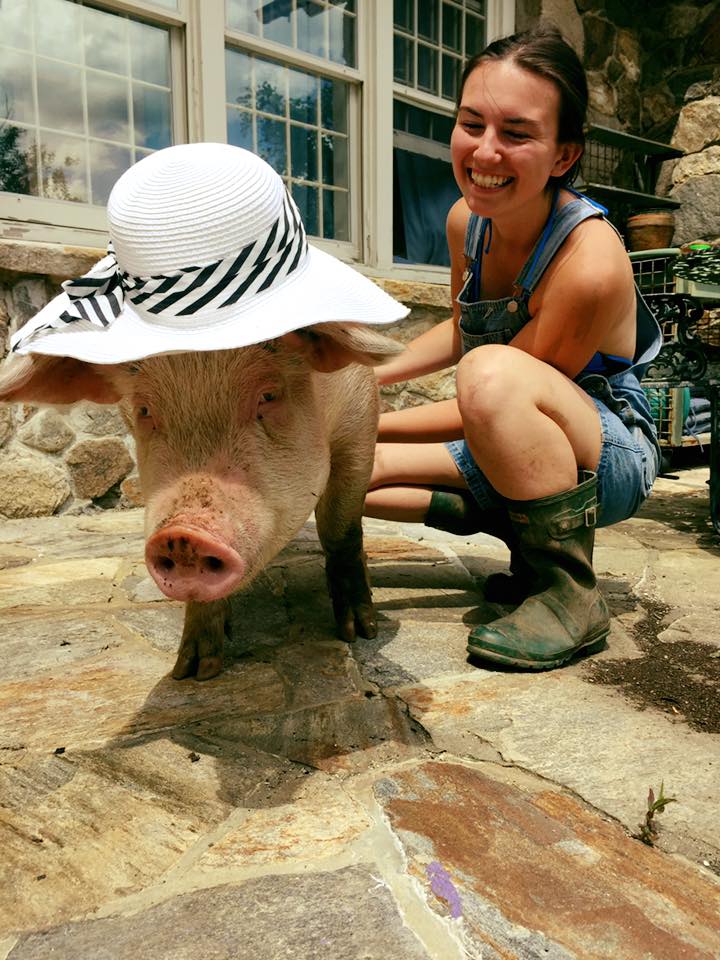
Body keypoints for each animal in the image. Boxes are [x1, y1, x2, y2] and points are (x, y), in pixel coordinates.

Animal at [0, 322, 403, 680]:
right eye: (145, 410)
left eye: (268, 395)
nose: (183, 534)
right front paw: (193, 673)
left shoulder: (361, 420)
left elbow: (340, 528)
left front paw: (359, 633)